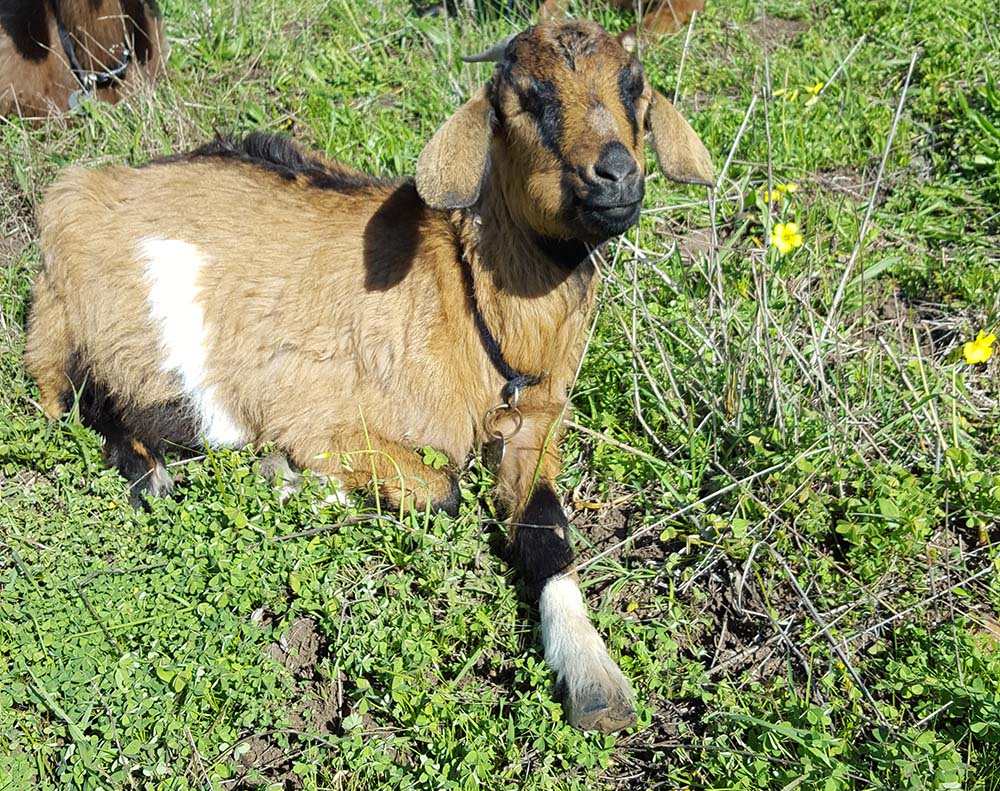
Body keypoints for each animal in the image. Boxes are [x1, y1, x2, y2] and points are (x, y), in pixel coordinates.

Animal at [24, 19, 713, 732]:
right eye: (525, 99)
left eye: (634, 88)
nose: (616, 175)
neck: (466, 298)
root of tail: (75, 193)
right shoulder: (321, 412)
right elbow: (443, 491)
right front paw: (291, 476)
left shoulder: (535, 423)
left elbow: (548, 530)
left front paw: (595, 682)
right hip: (103, 340)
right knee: (90, 401)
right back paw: (164, 476)